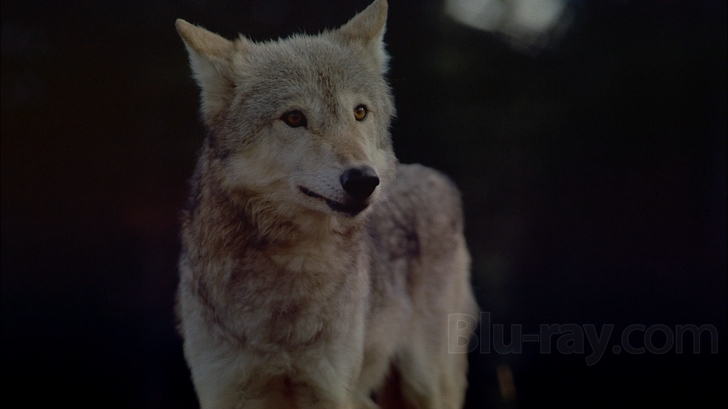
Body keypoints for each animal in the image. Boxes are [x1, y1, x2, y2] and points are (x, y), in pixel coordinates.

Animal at [175, 1, 479, 408]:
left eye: (360, 112)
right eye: (294, 117)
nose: (364, 180)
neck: (290, 268)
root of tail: (437, 177)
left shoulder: (329, 393)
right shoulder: (224, 393)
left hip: (426, 386)